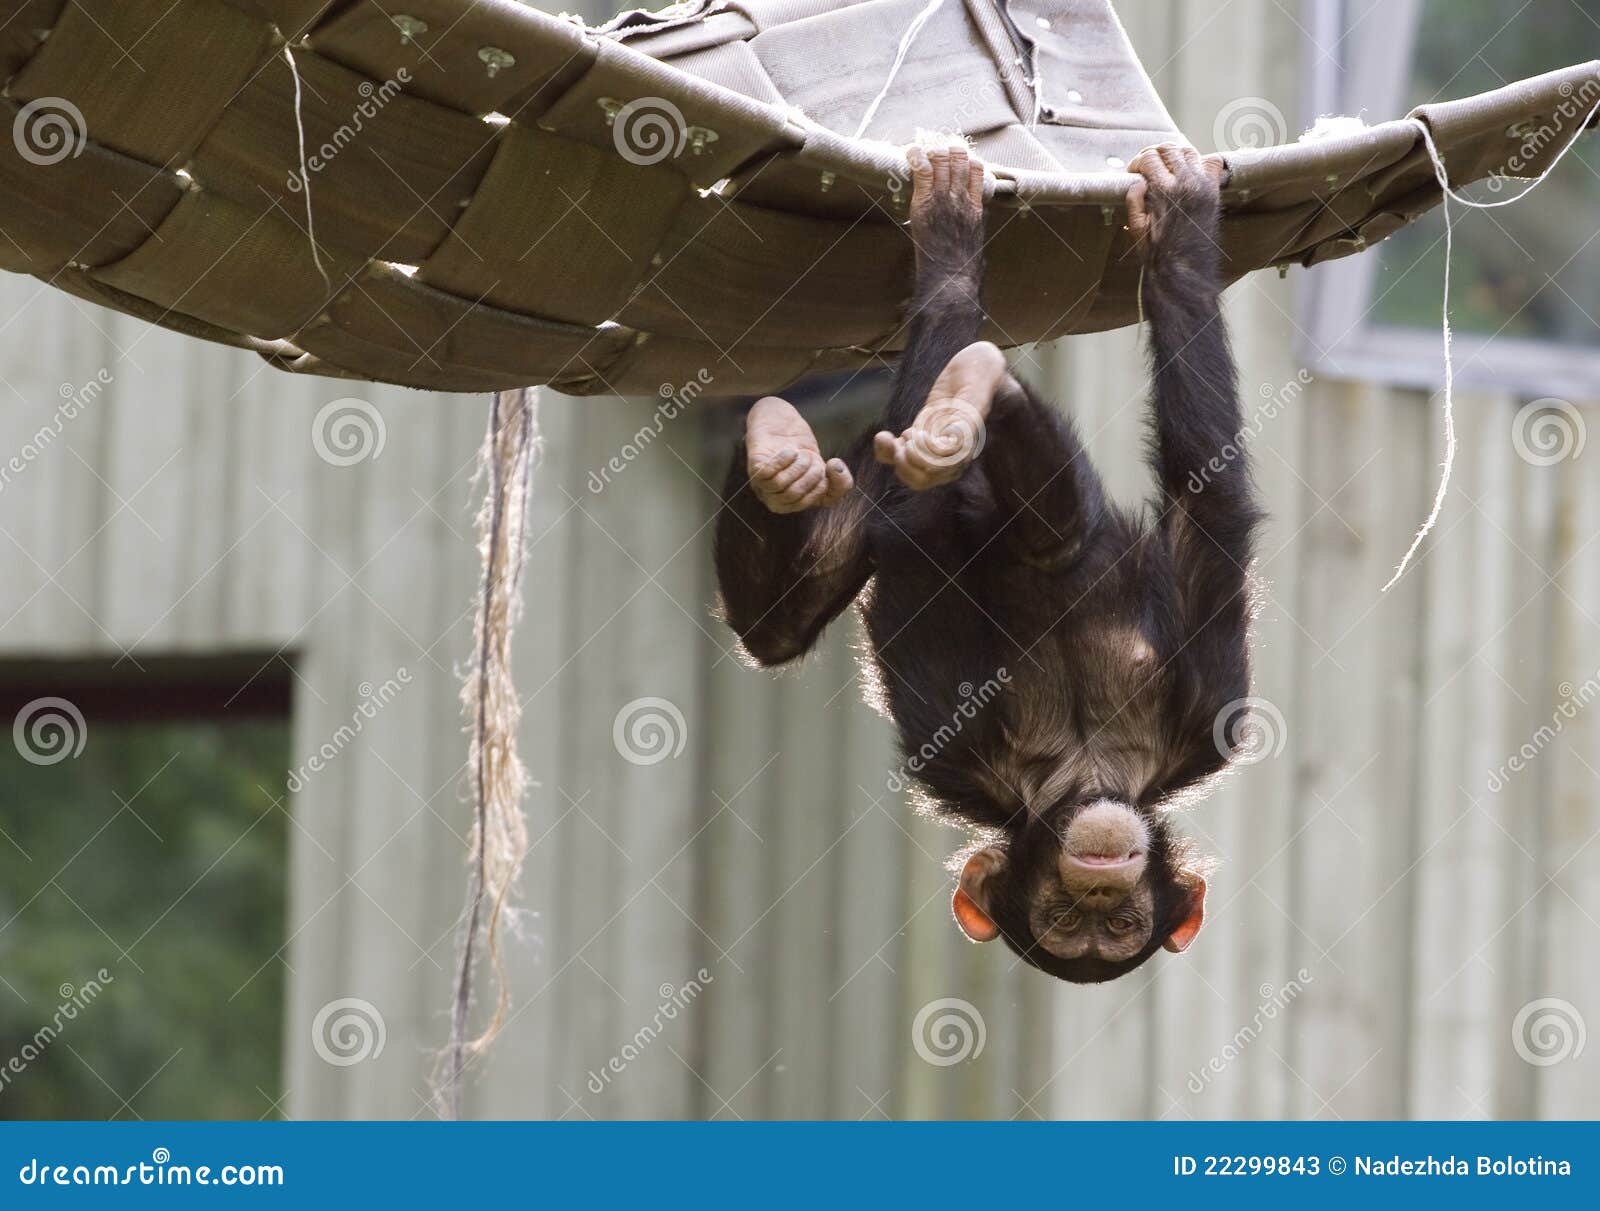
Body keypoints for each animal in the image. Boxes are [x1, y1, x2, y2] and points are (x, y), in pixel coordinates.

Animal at [712, 140, 1261, 983]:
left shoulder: (1204, 713)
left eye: (1116, 924)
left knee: (789, 614)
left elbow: (1208, 494)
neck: (1083, 770)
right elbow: (1208, 482)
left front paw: (1177, 237)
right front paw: (1181, 229)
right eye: (1066, 917)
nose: (1098, 880)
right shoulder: (982, 748)